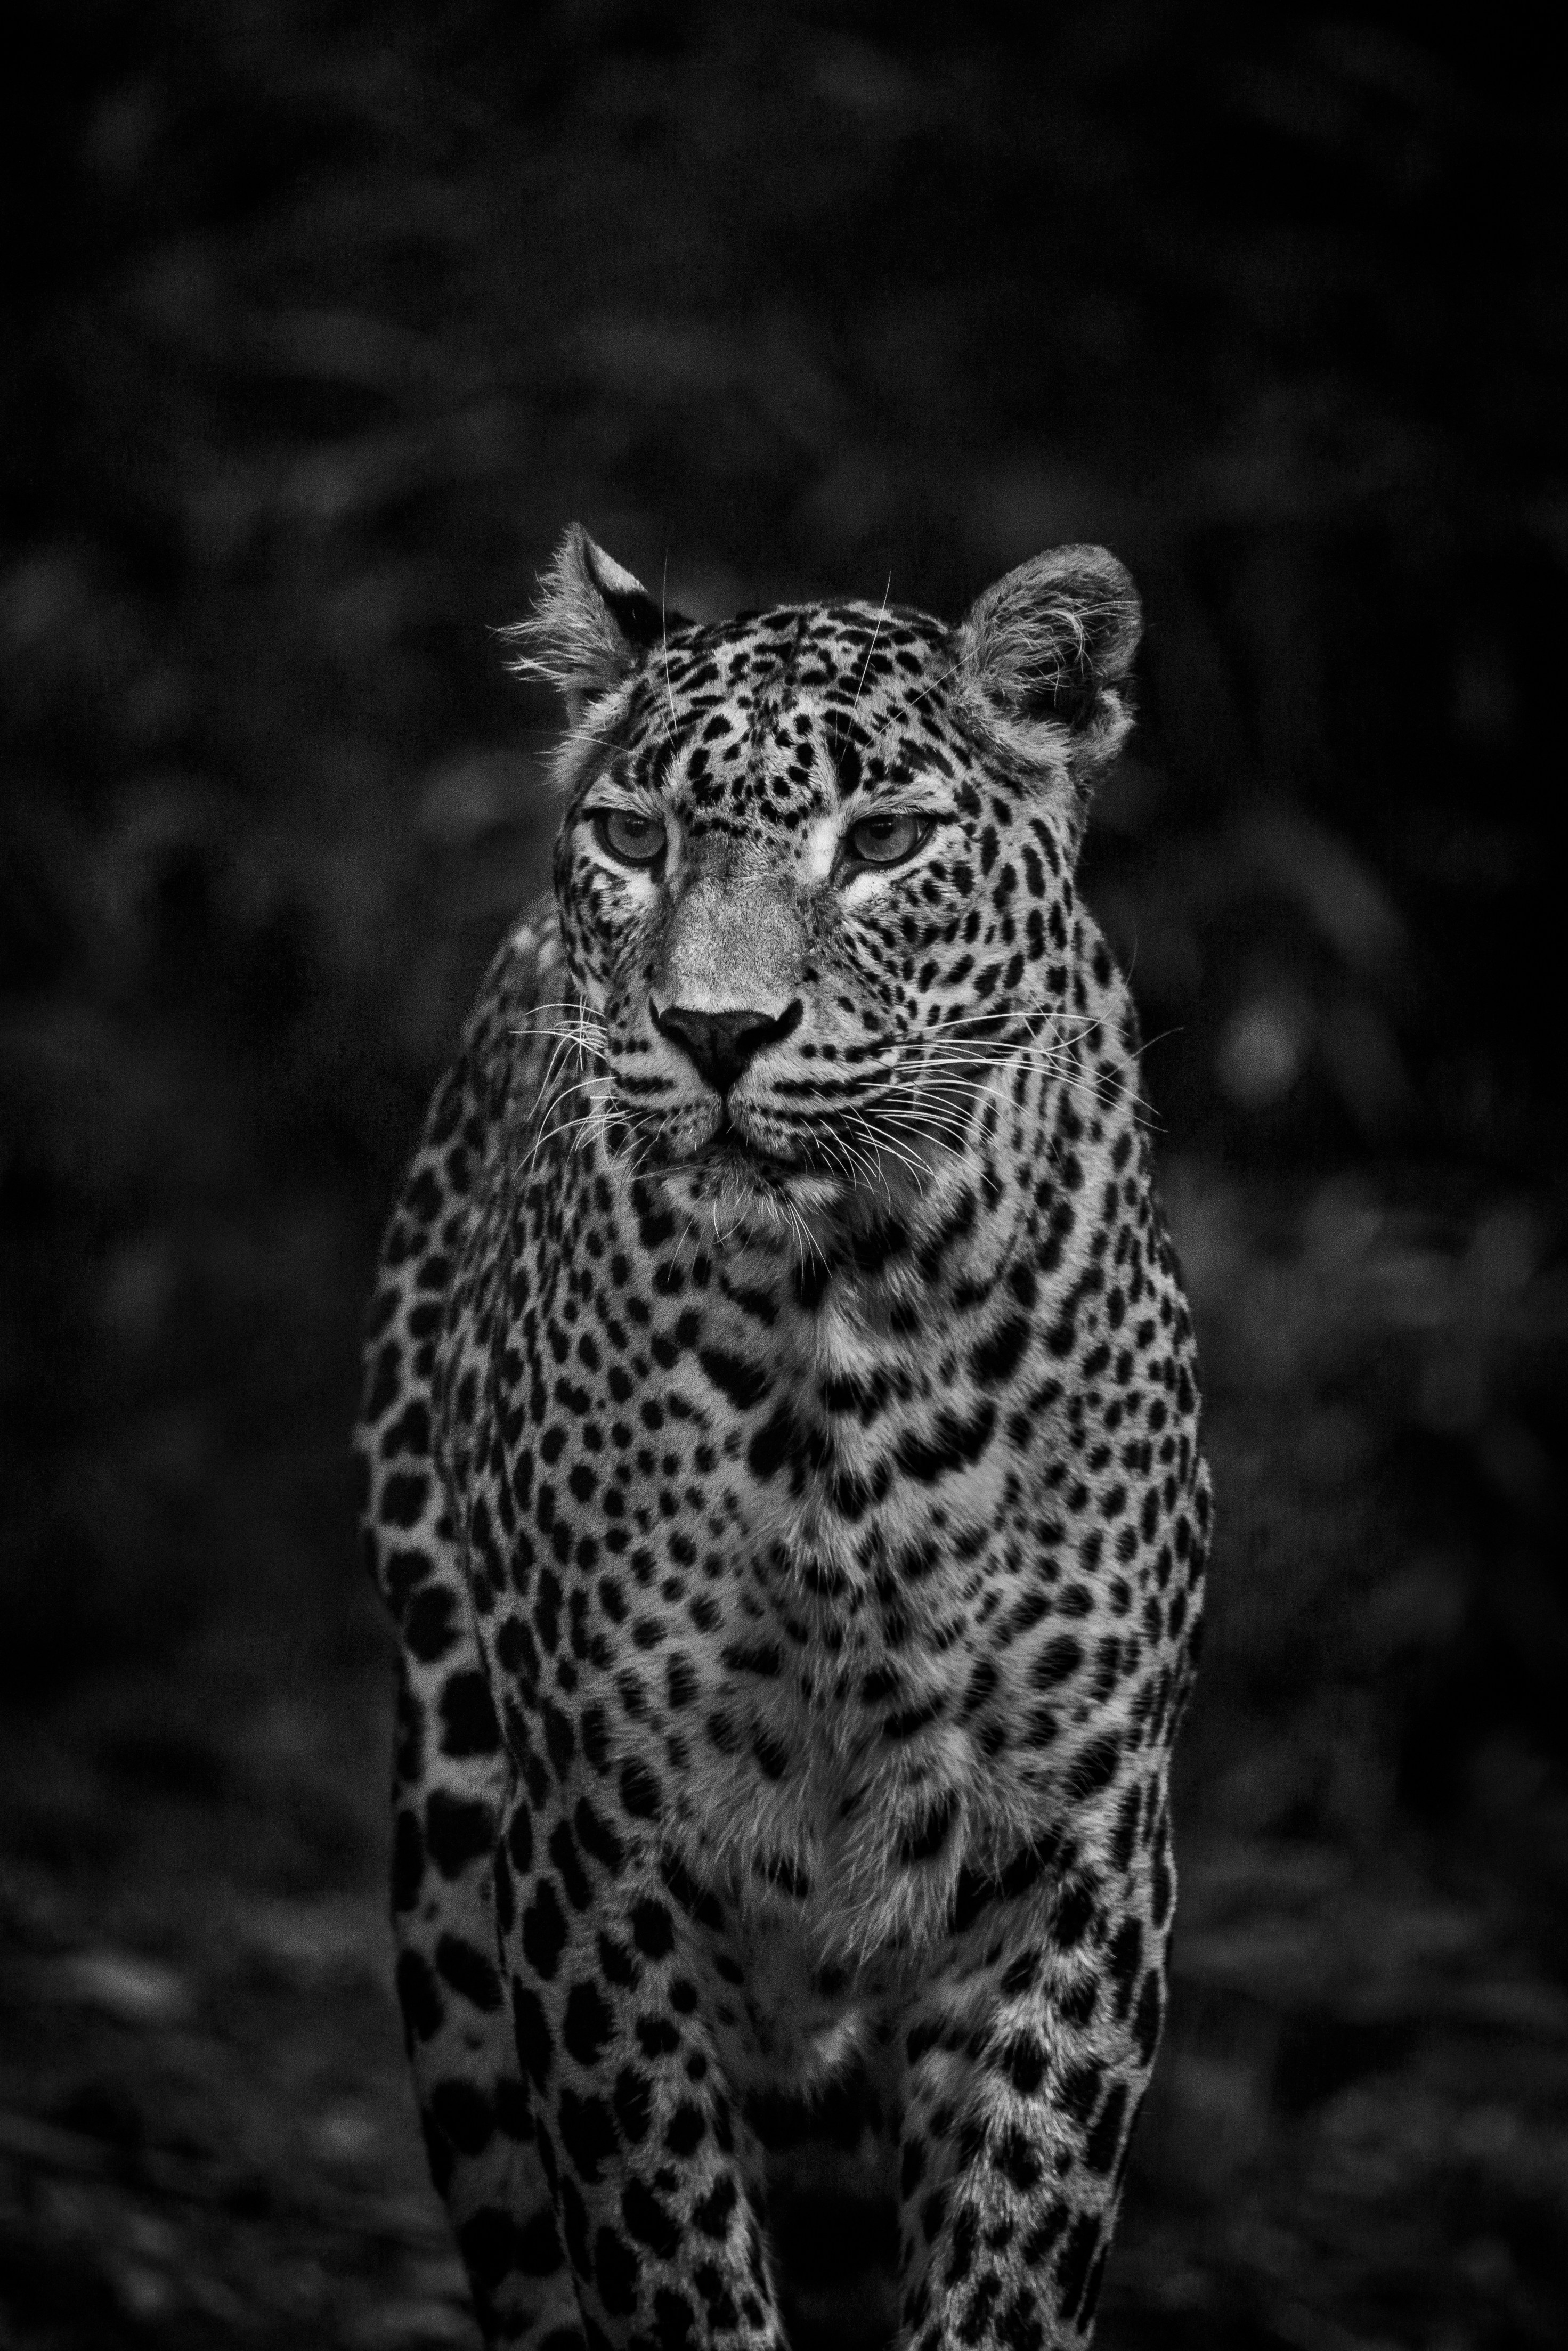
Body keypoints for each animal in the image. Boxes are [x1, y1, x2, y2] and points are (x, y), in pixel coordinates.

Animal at [355, 523, 1210, 2351]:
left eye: (880, 842)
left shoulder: (1078, 1854)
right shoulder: (595, 1851)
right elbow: (668, 2249)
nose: (715, 1032)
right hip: (454, 1824)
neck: (850, 1317)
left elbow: (1012, 2251)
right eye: (633, 836)